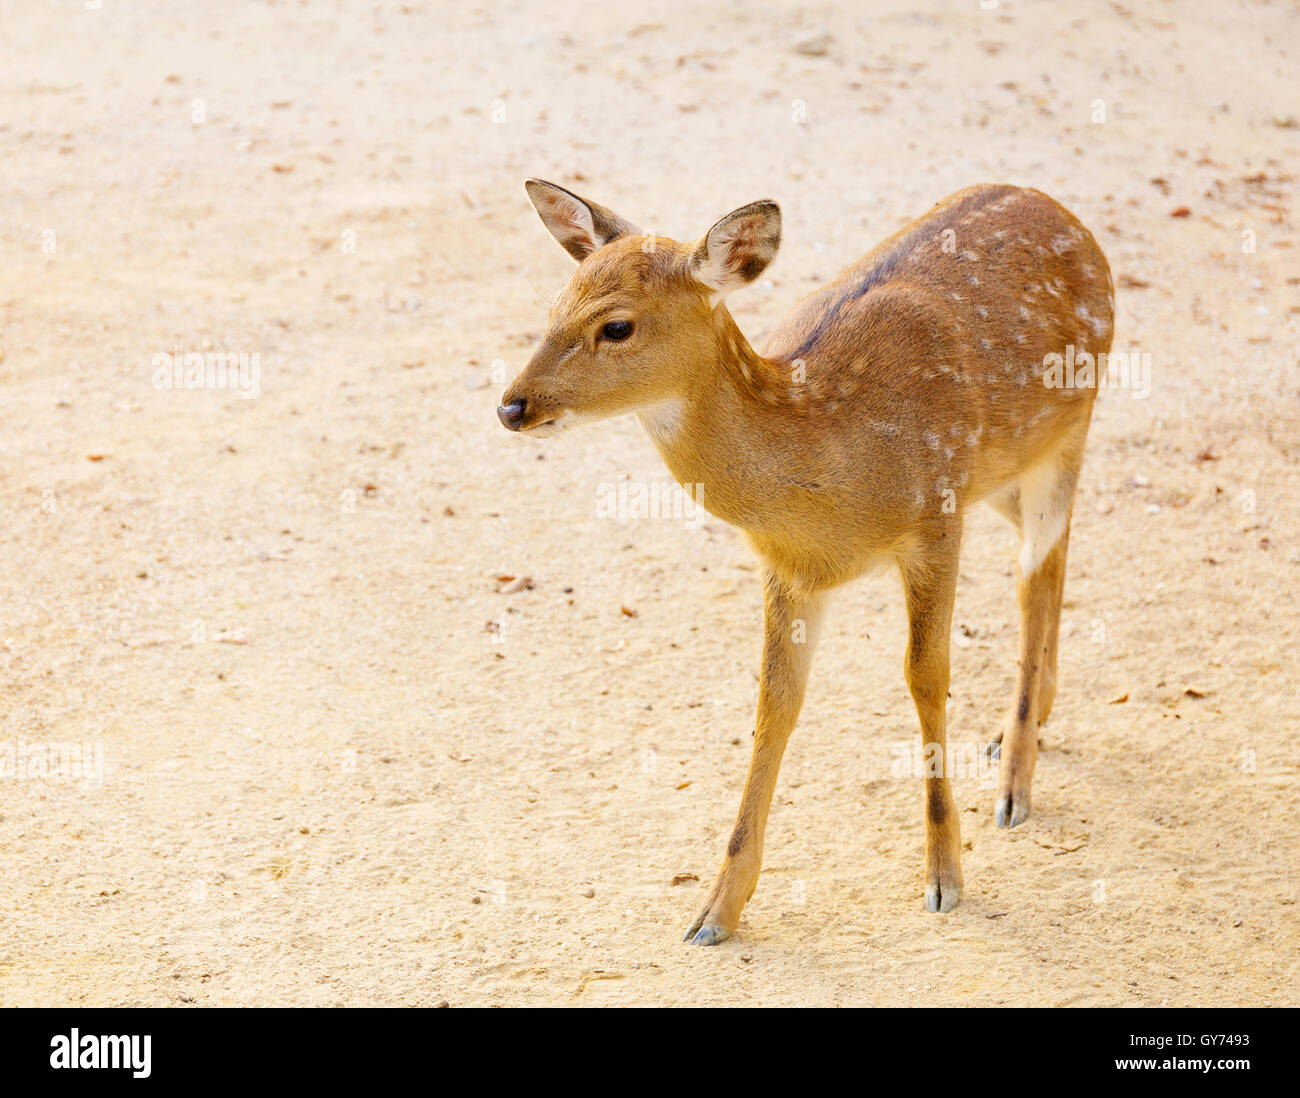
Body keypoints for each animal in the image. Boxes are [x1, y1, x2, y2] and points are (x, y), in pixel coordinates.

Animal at [498, 178, 1113, 945]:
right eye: (554, 305)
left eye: (616, 327)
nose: (512, 405)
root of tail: (1065, 214)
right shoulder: (788, 569)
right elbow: (775, 701)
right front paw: (715, 912)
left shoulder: (936, 515)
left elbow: (925, 678)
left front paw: (945, 879)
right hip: (1002, 473)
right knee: (1052, 554)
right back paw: (1016, 733)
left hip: (1069, 425)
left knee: (1038, 571)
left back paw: (1014, 785)